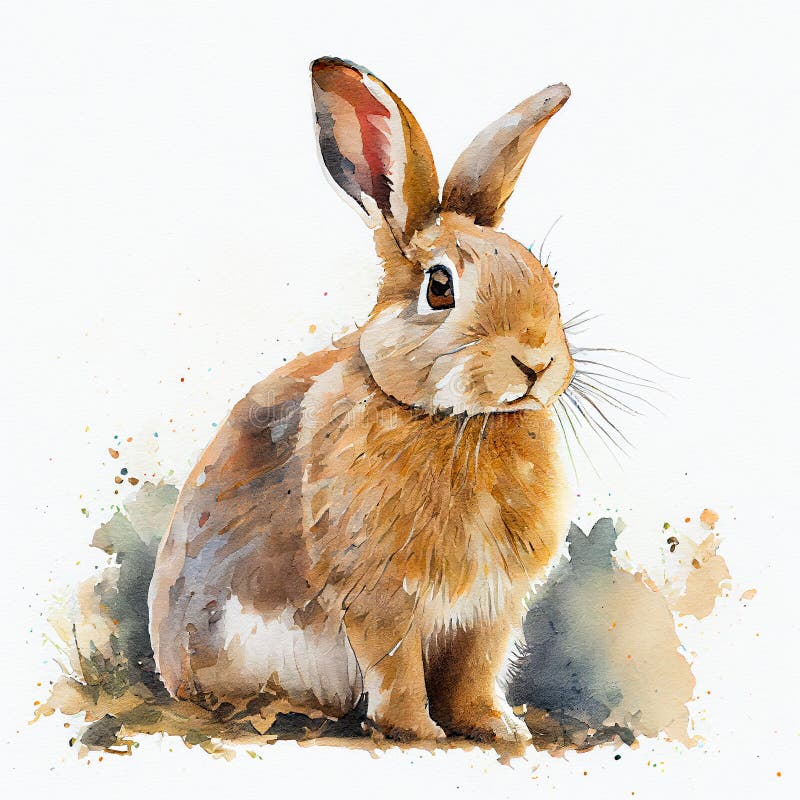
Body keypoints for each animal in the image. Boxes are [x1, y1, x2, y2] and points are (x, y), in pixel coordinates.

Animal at [148, 56, 574, 743]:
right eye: (440, 286)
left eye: (544, 276)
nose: (536, 363)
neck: (462, 422)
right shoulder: (380, 597)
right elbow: (397, 670)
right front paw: (419, 734)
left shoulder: (490, 610)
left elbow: (476, 674)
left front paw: (497, 729)